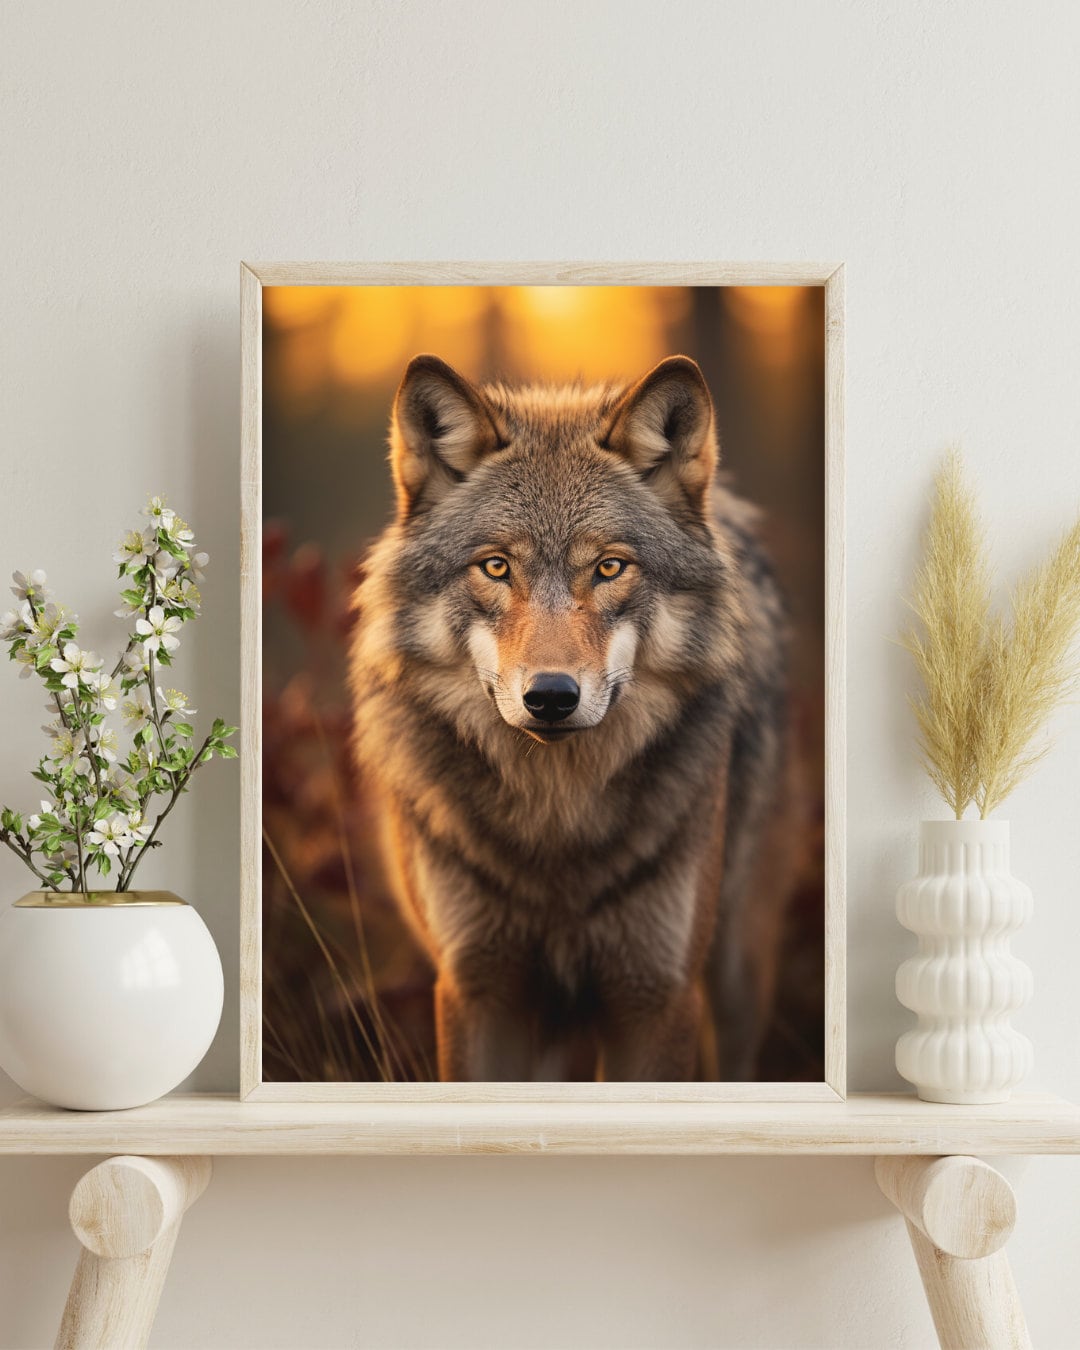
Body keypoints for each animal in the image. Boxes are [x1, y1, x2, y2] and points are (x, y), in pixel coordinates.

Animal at [349, 352, 798, 1082]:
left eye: (610, 567)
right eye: (495, 567)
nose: (552, 696)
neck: (555, 823)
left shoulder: (656, 996)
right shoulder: (477, 991)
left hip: (735, 970)